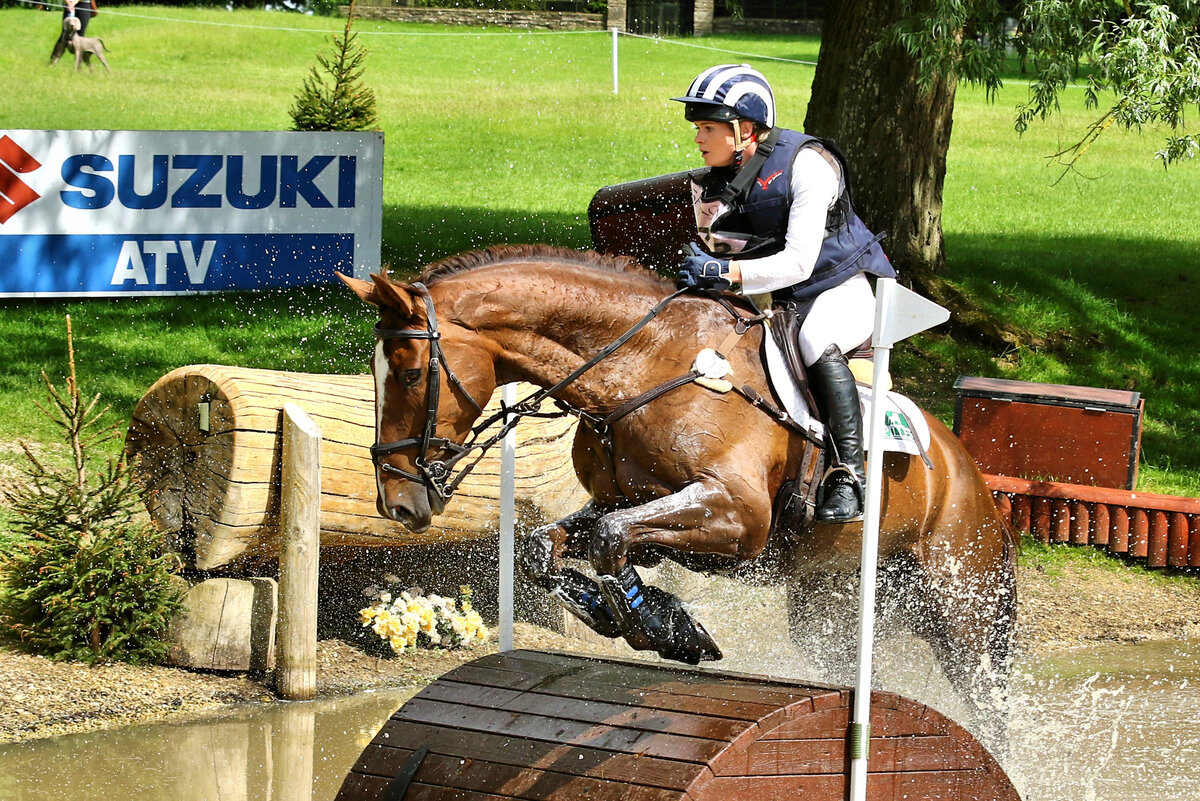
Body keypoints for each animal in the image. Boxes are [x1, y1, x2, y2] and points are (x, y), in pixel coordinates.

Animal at [343, 245, 1017, 724]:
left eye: (409, 374)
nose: (396, 503)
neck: (643, 366)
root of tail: (968, 473)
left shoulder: (738, 518)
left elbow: (611, 539)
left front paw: (663, 628)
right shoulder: (623, 501)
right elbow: (554, 547)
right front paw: (628, 615)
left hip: (961, 608)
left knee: (988, 698)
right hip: (829, 605)